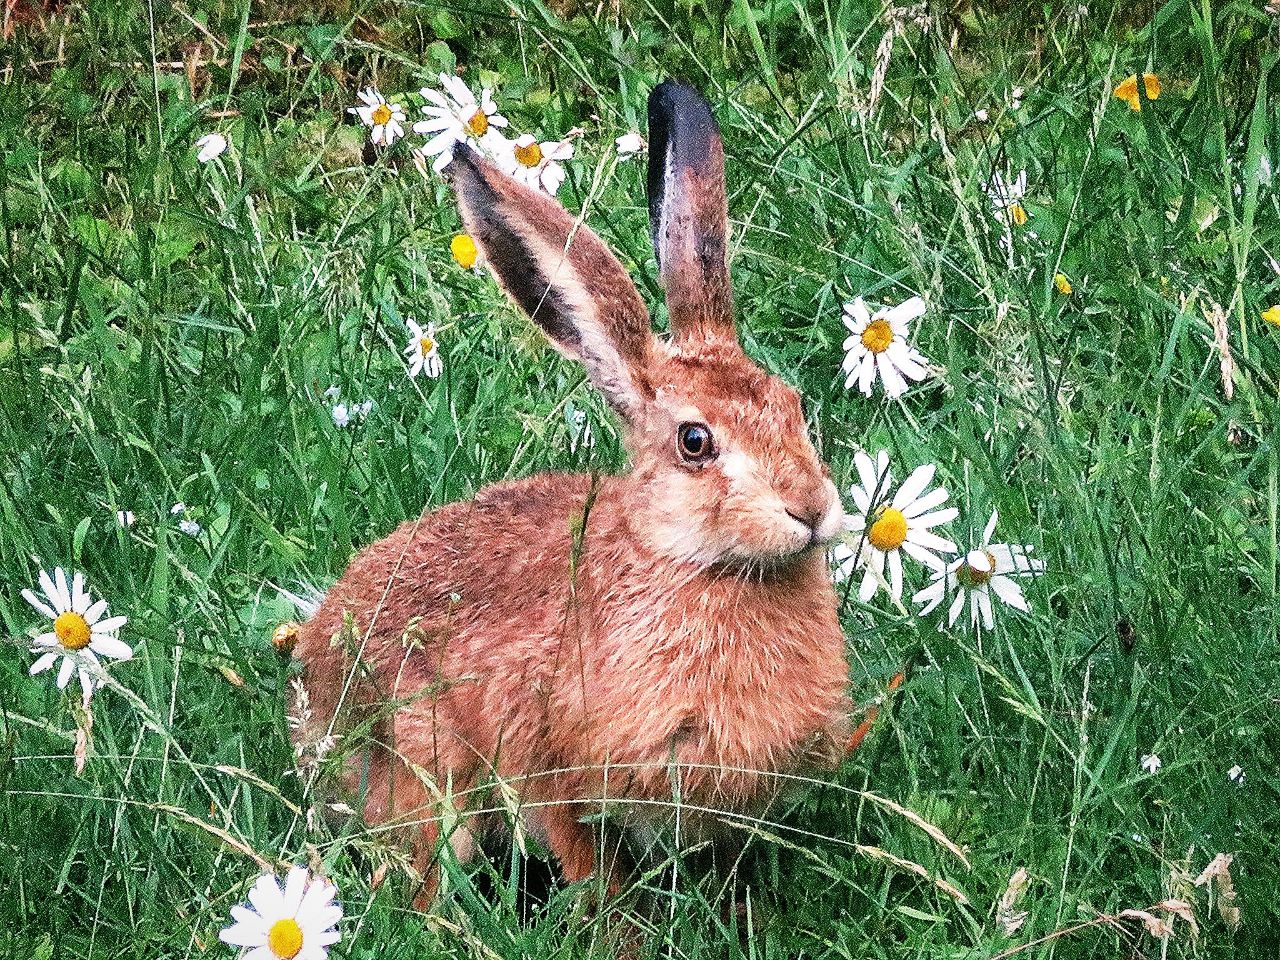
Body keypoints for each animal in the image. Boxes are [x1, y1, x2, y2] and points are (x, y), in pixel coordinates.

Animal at [291, 80, 855, 907]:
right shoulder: (555, 772)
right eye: (695, 442)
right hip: (425, 773)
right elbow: (594, 876)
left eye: (794, 405)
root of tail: (314, 677)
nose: (811, 511)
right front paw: (614, 926)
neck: (694, 564)